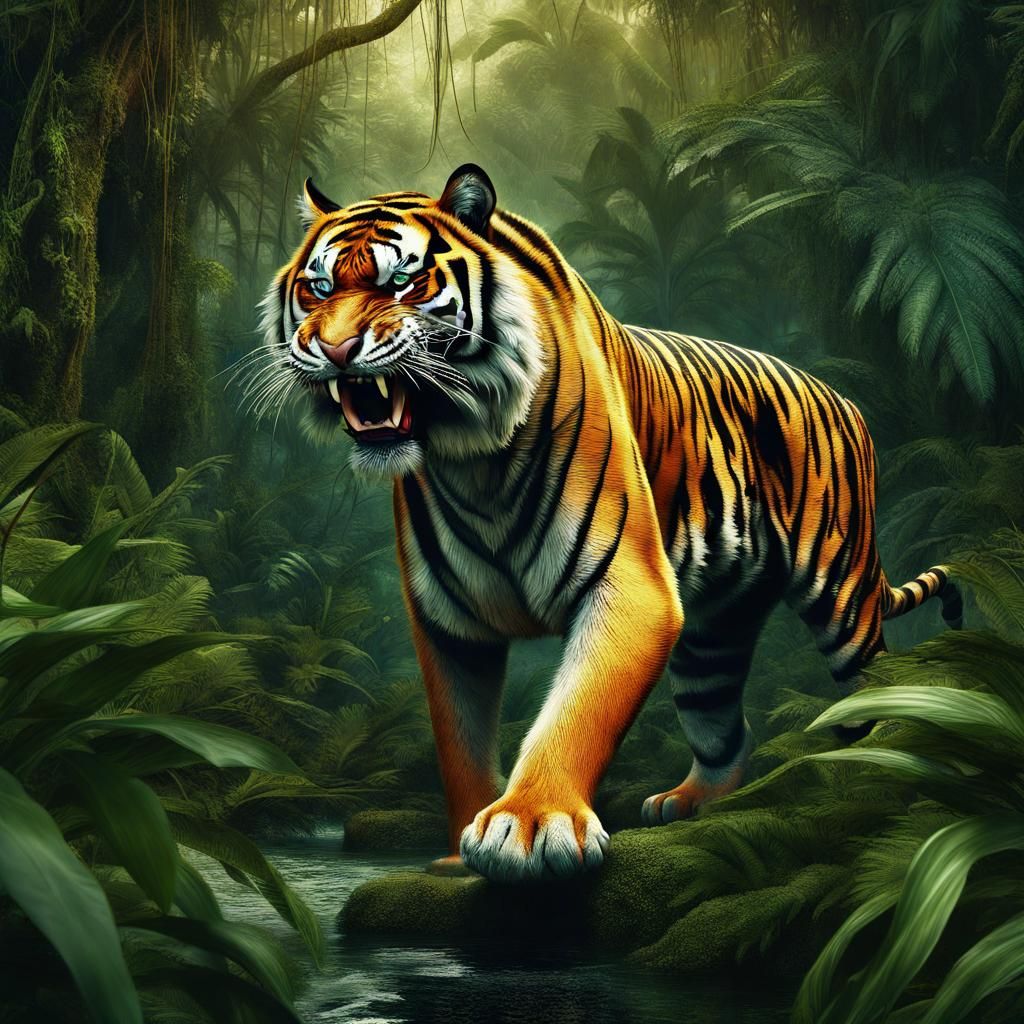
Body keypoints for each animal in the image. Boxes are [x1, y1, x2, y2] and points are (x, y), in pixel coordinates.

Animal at [259, 164, 962, 883]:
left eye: (401, 281)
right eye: (318, 287)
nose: (335, 348)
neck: (472, 458)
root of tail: (844, 399)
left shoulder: (631, 589)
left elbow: (575, 713)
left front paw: (529, 823)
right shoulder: (450, 624)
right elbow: (460, 746)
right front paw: (459, 855)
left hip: (842, 599)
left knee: (876, 688)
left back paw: (873, 778)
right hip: (713, 636)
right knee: (725, 729)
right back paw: (689, 804)